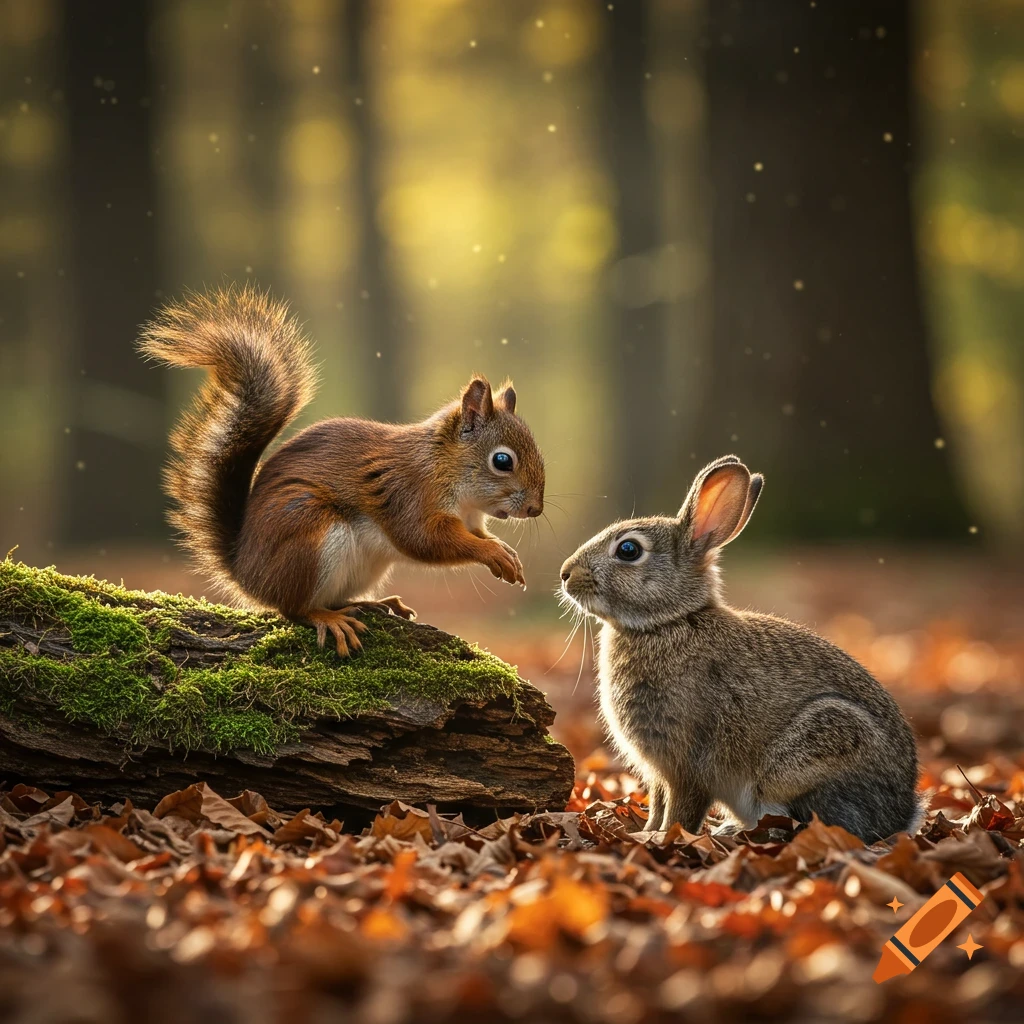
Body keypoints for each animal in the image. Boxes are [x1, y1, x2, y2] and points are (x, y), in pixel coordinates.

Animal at [138, 285, 545, 656]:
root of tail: (247, 572)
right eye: (503, 461)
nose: (535, 509)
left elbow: (476, 534)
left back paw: (374, 603)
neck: (448, 472)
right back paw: (329, 619)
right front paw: (491, 554)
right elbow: (426, 539)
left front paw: (504, 552)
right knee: (293, 608)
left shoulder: (470, 518)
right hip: (309, 534)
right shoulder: (410, 494)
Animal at [558, 455, 923, 843]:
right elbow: (658, 804)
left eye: (629, 550)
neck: (668, 621)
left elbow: (680, 810)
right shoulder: (660, 772)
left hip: (815, 749)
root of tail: (901, 815)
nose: (565, 573)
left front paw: (662, 837)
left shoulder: (687, 764)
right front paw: (647, 832)